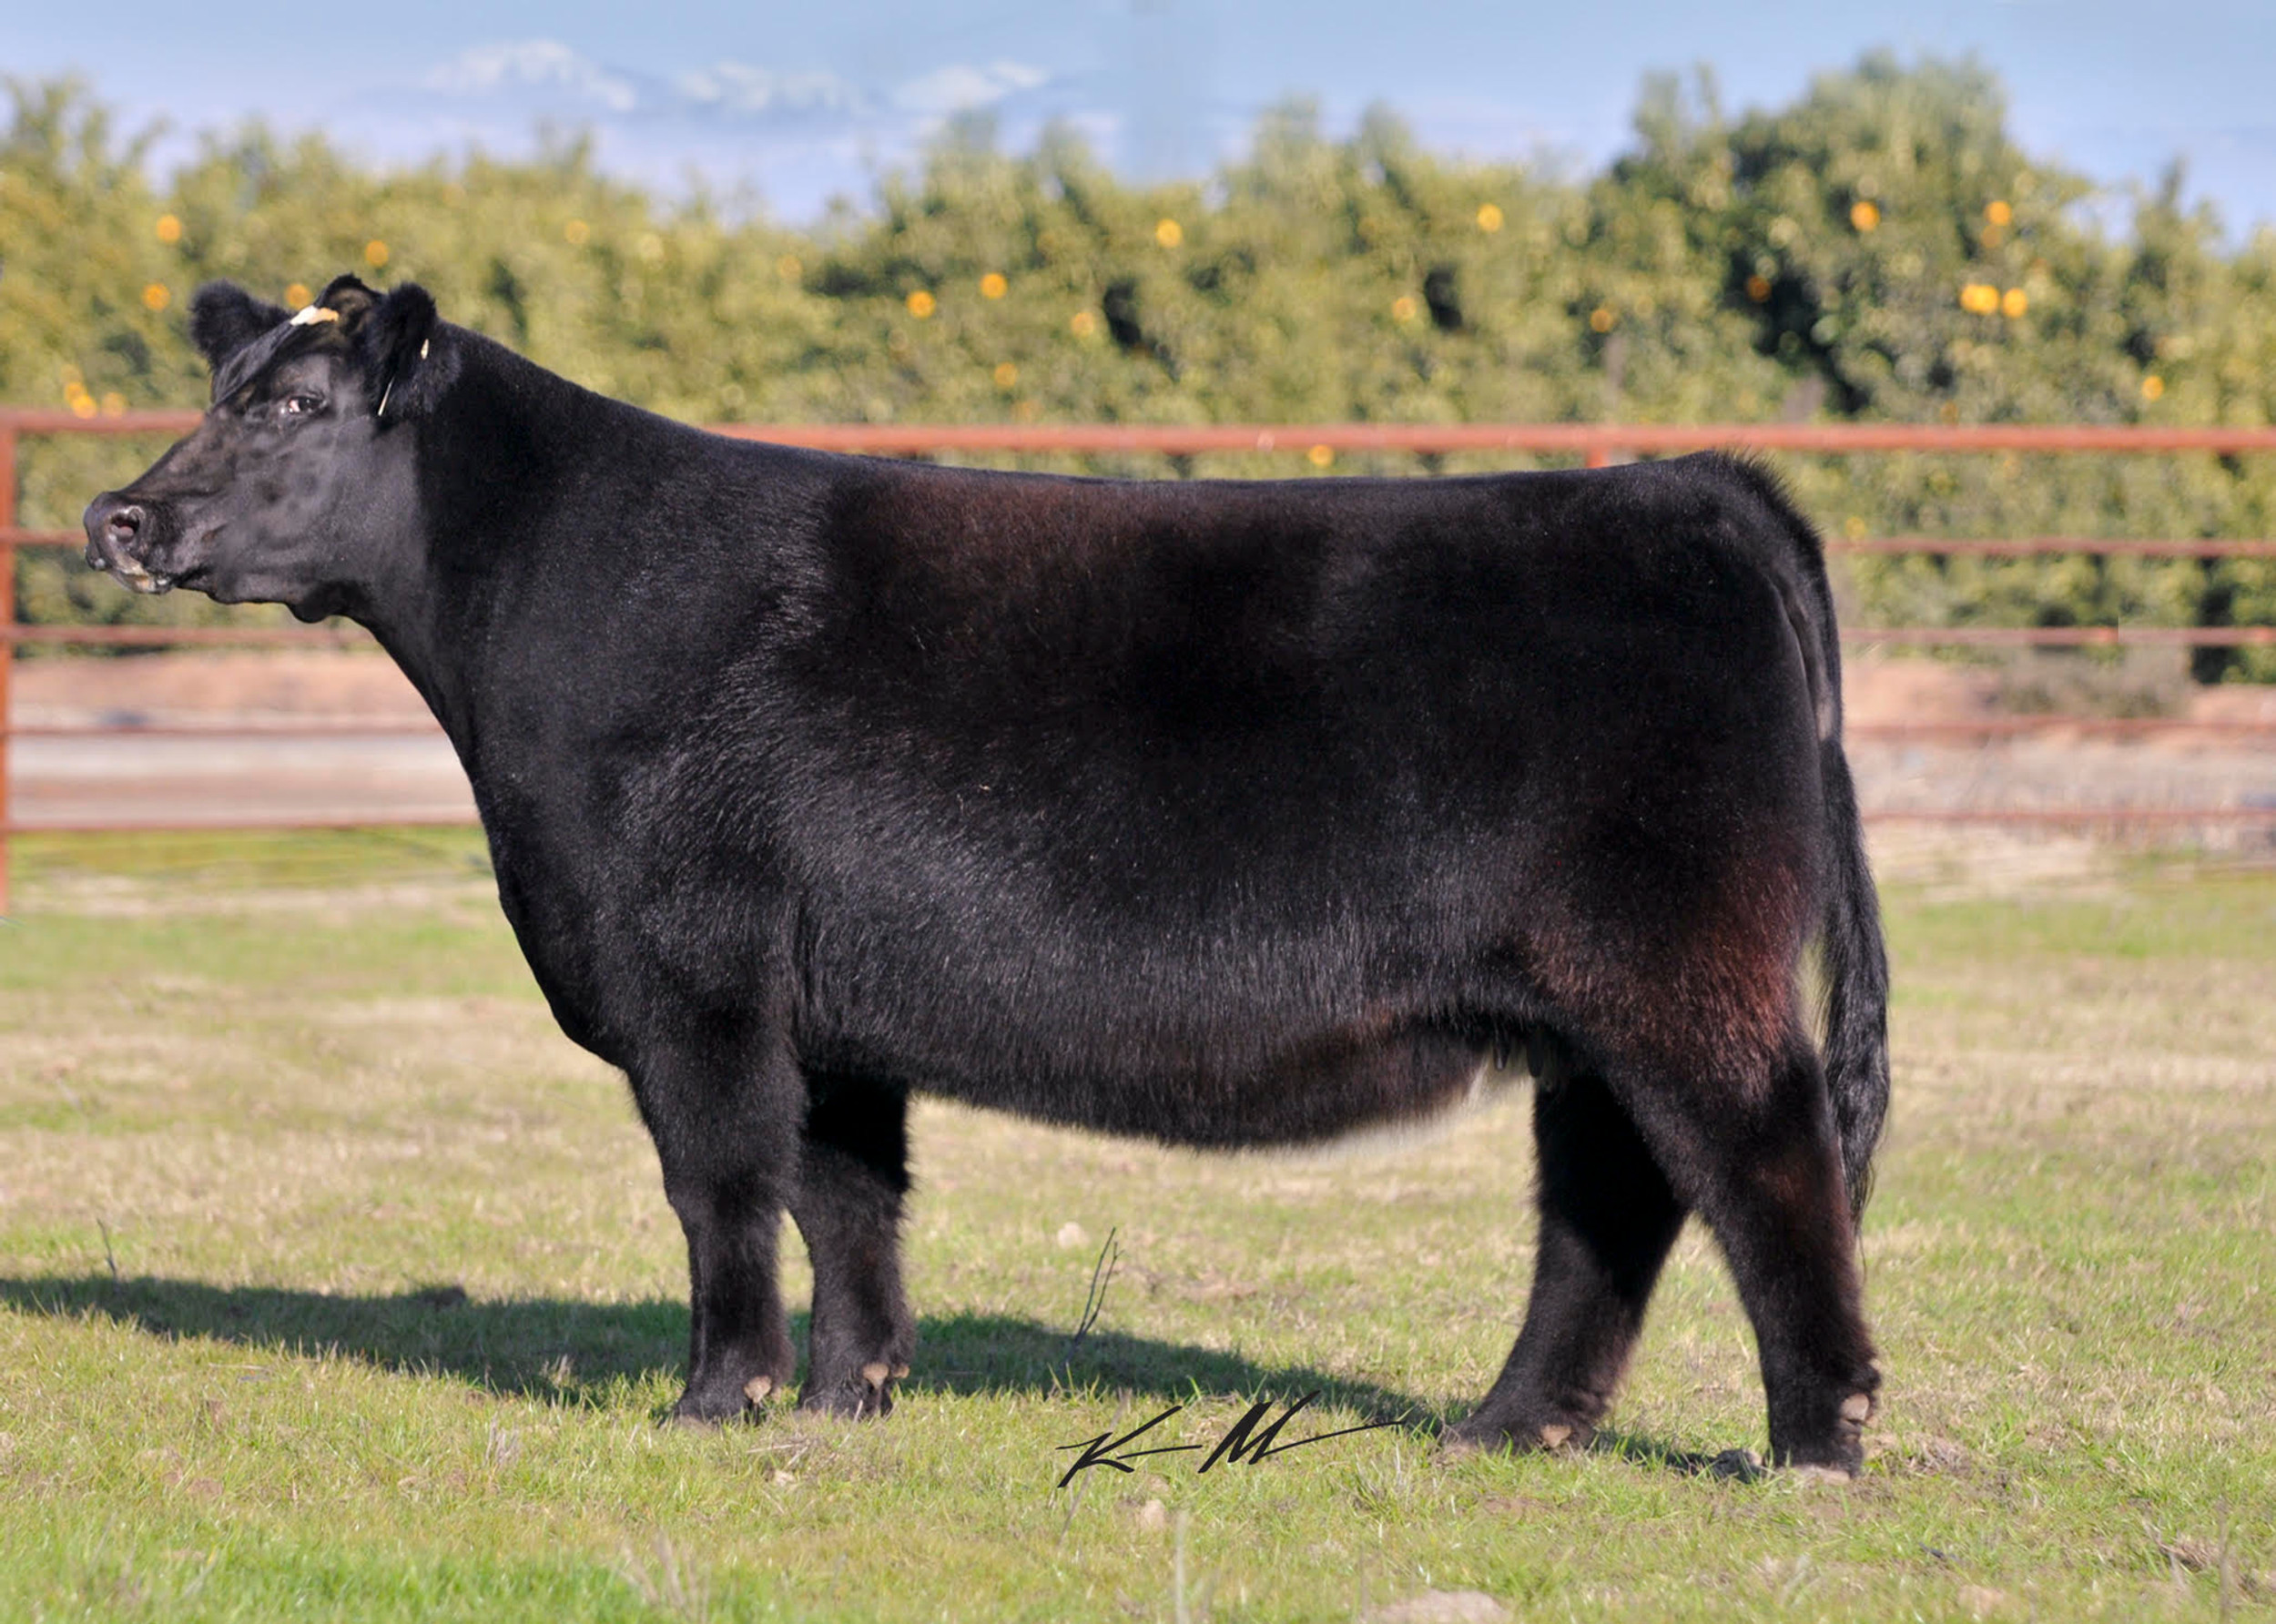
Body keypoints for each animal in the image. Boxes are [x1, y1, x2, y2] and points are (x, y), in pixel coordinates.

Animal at [82, 275, 1890, 1475]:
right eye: (223, 384)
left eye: (293, 407)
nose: (119, 516)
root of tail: (1688, 486)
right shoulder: (824, 1004)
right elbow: (844, 1196)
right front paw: (846, 1395)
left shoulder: (693, 975)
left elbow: (721, 1187)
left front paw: (715, 1397)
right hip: (1589, 1009)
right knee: (1609, 1199)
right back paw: (1510, 1427)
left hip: (1674, 971)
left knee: (1762, 1158)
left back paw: (1818, 1436)